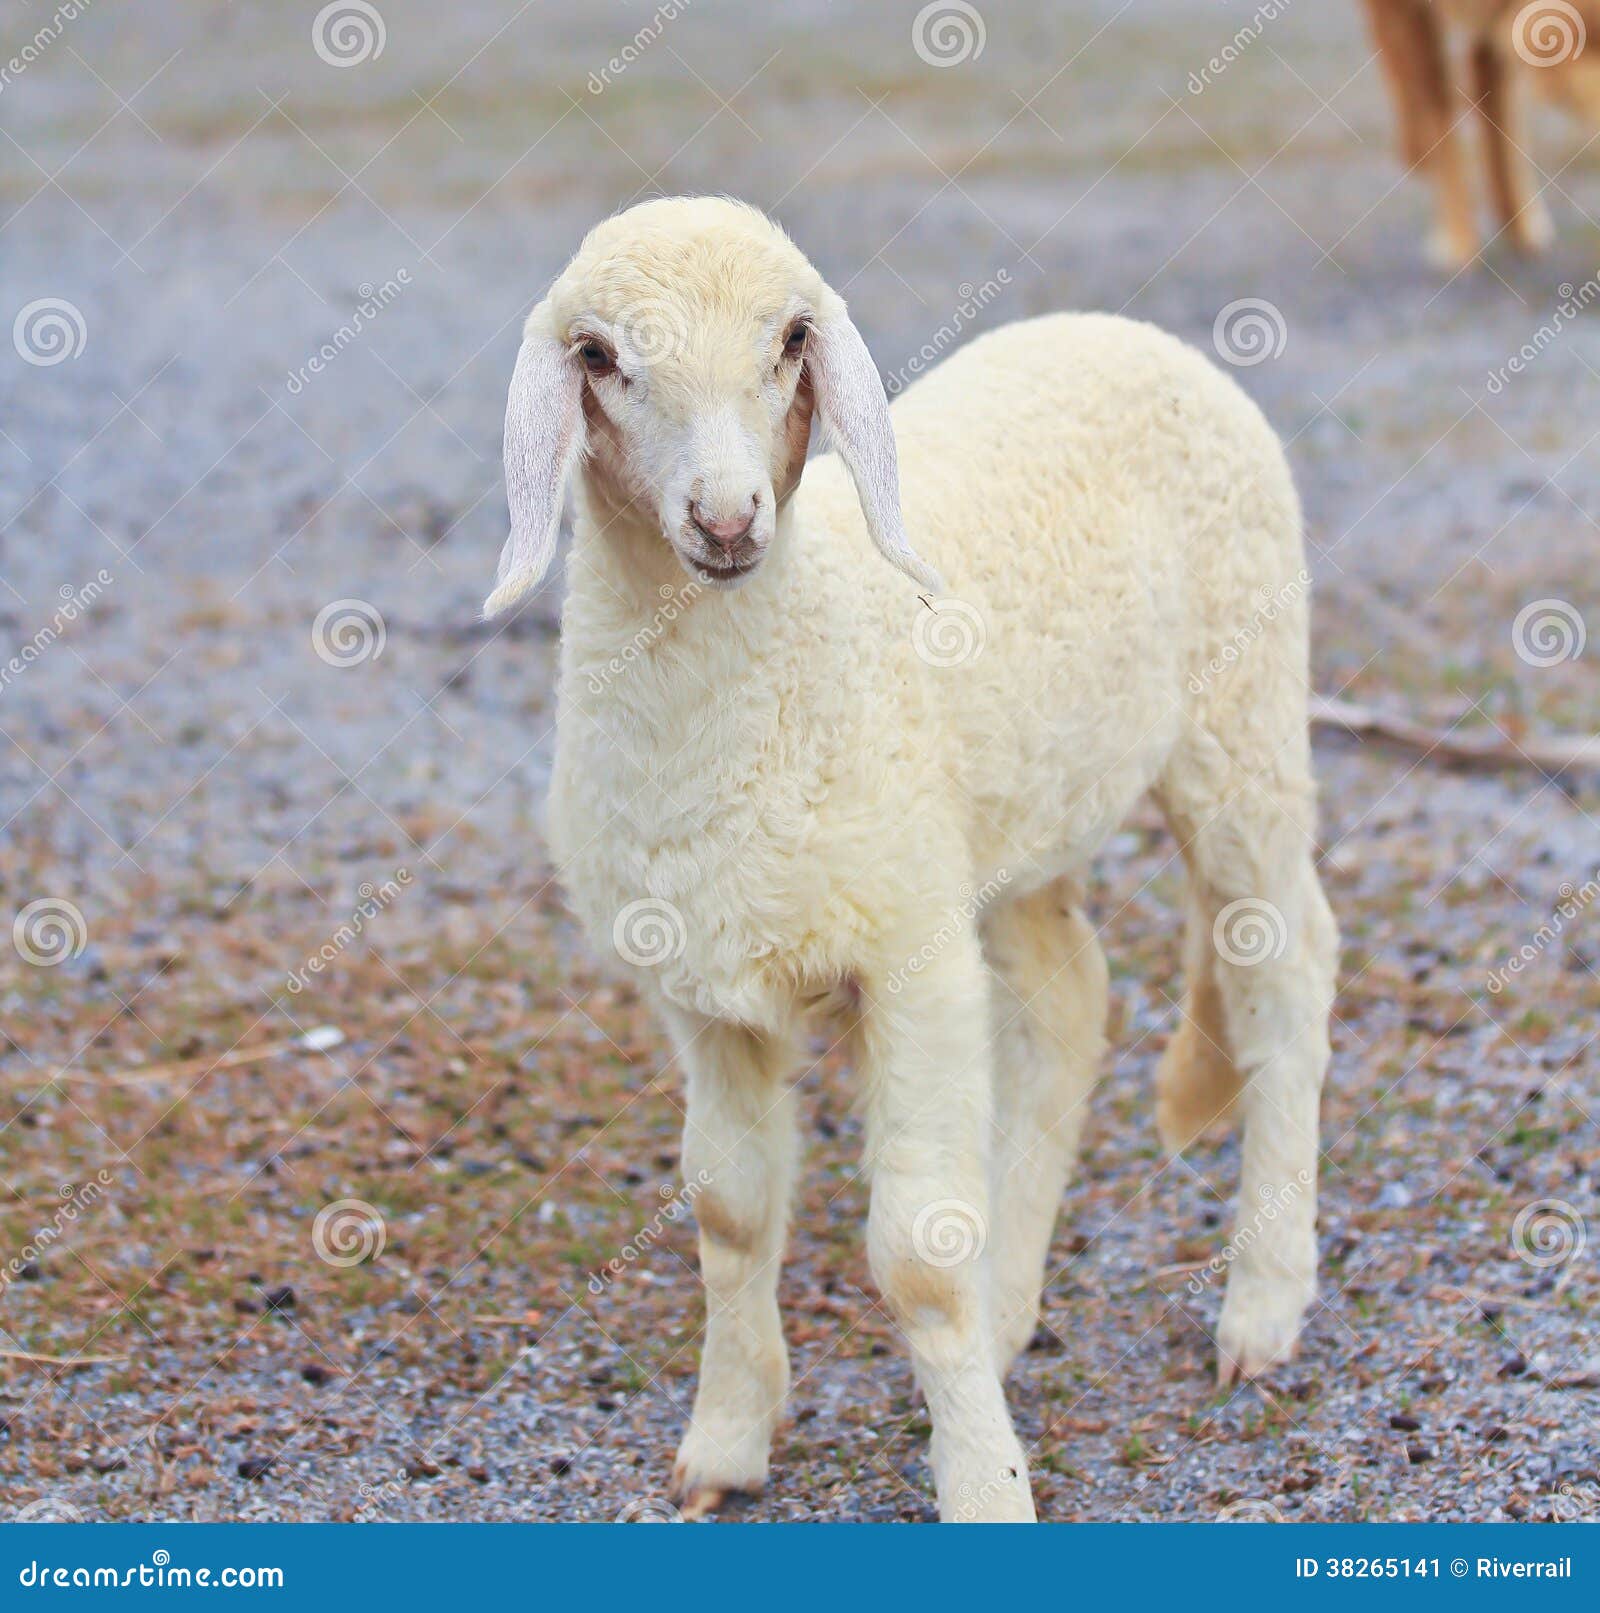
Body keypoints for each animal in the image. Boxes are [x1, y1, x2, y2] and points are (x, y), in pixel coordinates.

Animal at [486, 196, 1338, 1523]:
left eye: (791, 339)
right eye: (597, 357)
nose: (726, 518)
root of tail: (1122, 331)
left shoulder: (908, 958)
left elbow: (920, 1255)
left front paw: (983, 1483)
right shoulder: (702, 991)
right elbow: (730, 1211)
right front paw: (725, 1438)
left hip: (1240, 717)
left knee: (1285, 972)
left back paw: (1260, 1305)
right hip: (1011, 822)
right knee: (1067, 998)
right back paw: (1013, 1313)